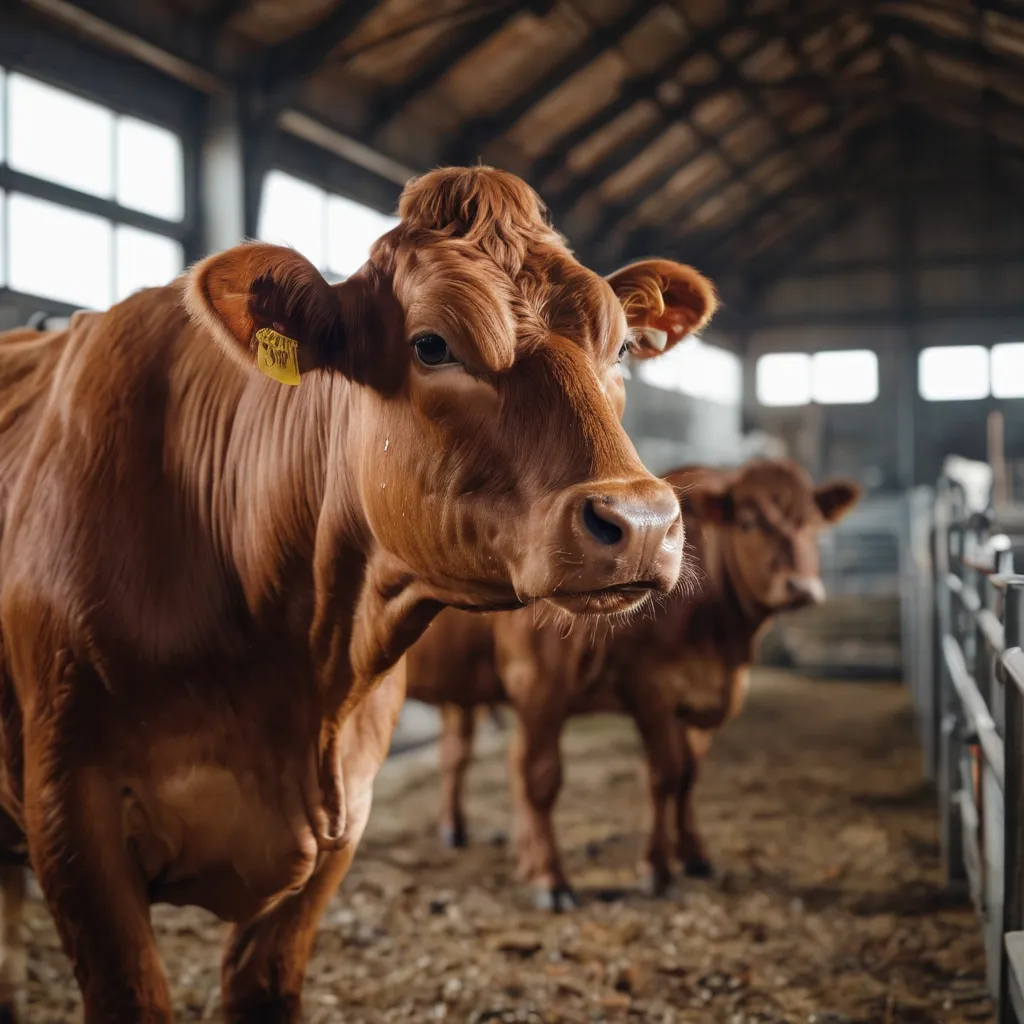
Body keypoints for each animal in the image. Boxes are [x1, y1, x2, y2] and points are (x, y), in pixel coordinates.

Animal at [405, 459, 860, 908]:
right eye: (748, 523)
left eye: (814, 525)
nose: (802, 588)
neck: (720, 641)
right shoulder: (572, 687)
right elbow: (631, 776)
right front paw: (626, 872)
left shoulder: (693, 698)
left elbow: (688, 775)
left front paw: (693, 855)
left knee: (456, 751)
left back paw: (457, 831)